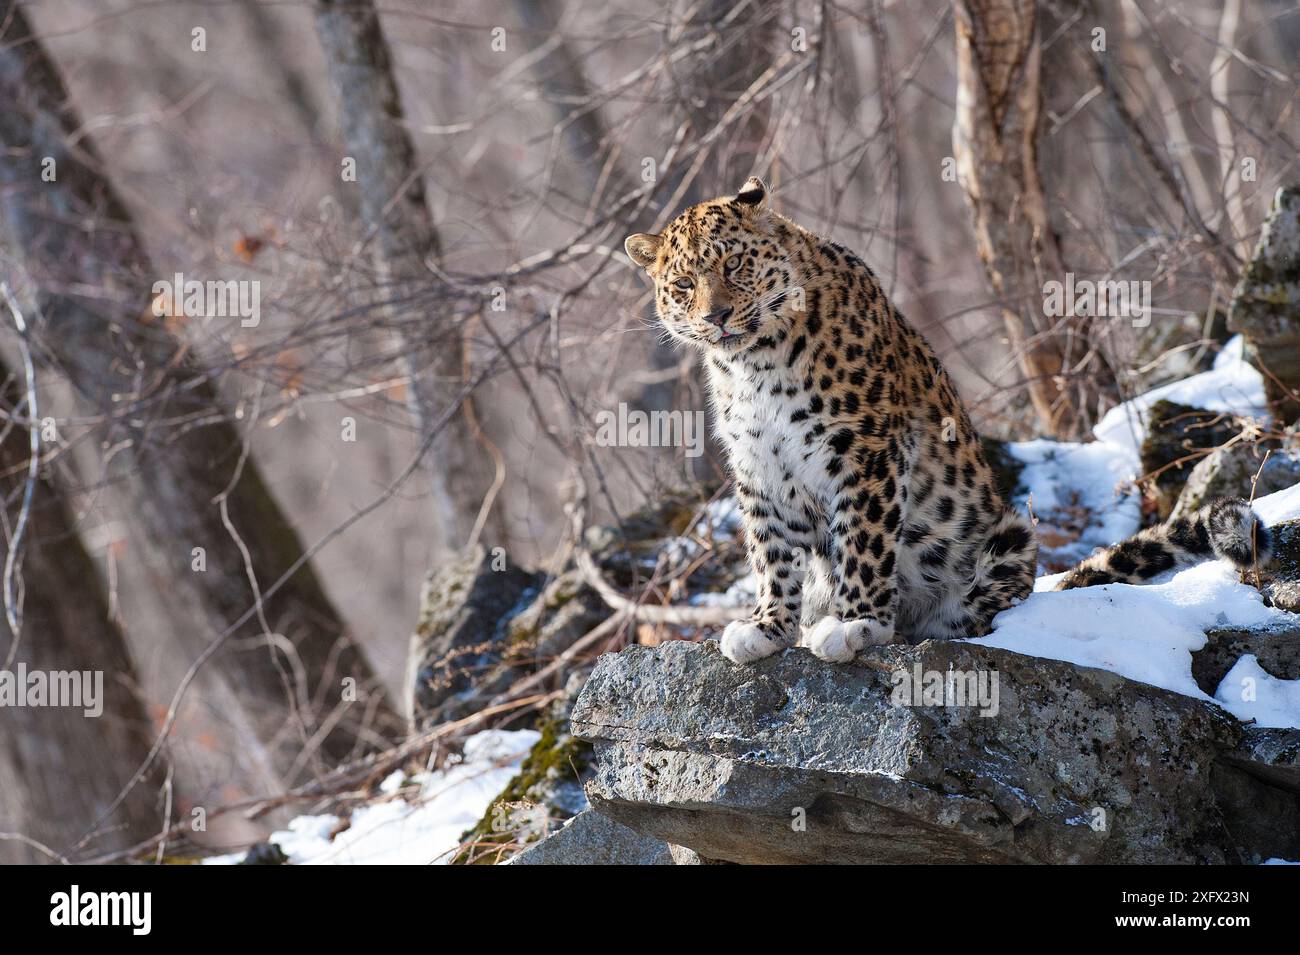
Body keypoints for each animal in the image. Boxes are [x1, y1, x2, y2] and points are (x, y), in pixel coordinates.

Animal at [625, 177, 1273, 665]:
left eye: (735, 263)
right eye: (683, 285)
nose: (716, 315)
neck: (751, 364)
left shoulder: (864, 449)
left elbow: (862, 541)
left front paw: (856, 623)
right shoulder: (760, 469)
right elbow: (771, 554)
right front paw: (768, 627)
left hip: (1009, 534)